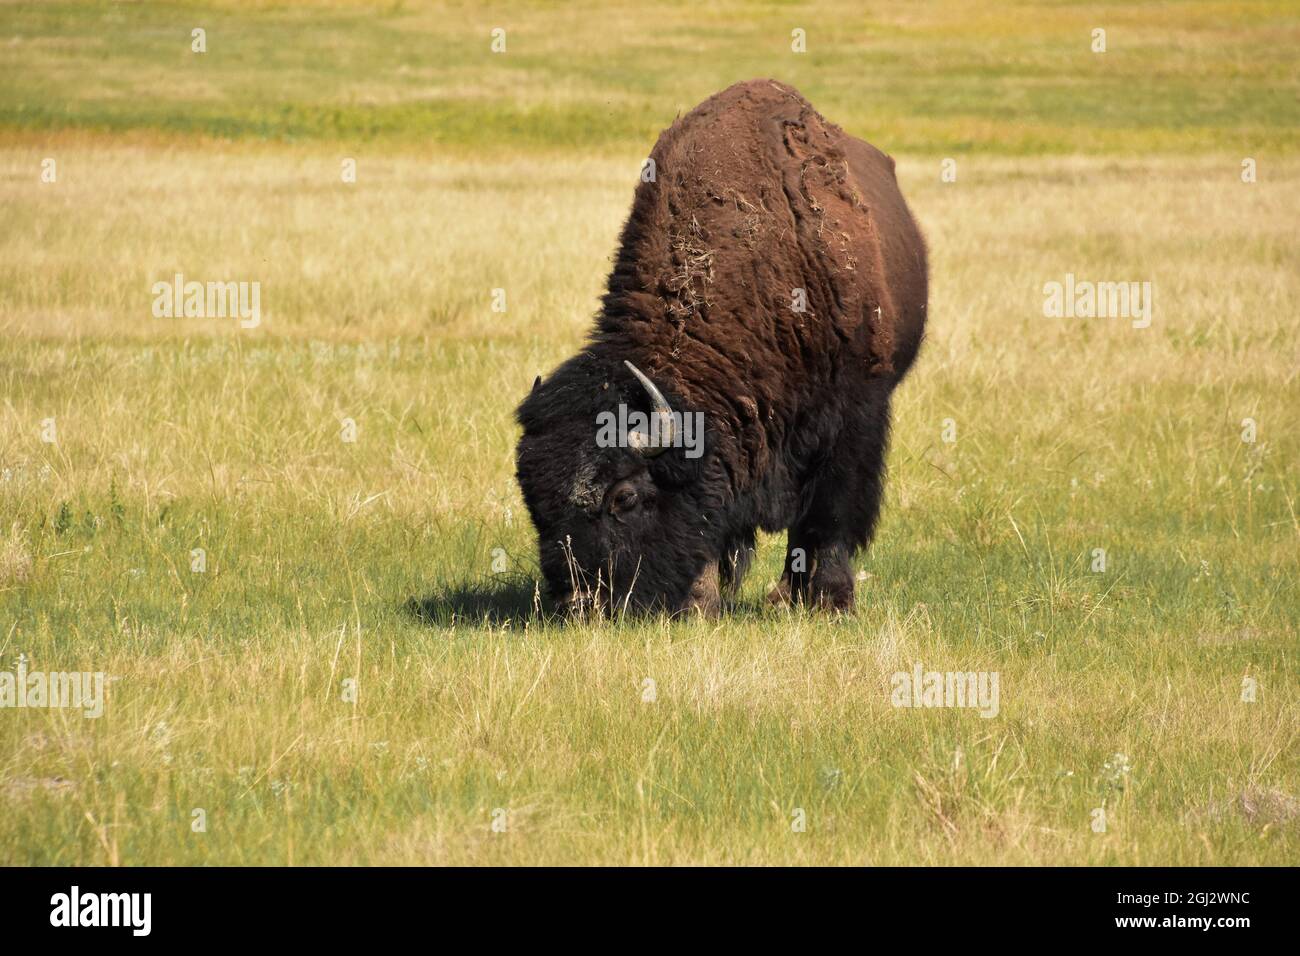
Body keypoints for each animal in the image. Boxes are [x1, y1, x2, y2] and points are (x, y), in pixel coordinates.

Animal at [515, 79, 928, 615]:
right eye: (533, 501)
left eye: (624, 497)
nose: (580, 601)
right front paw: (700, 603)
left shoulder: (857, 417)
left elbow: (831, 514)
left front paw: (833, 601)